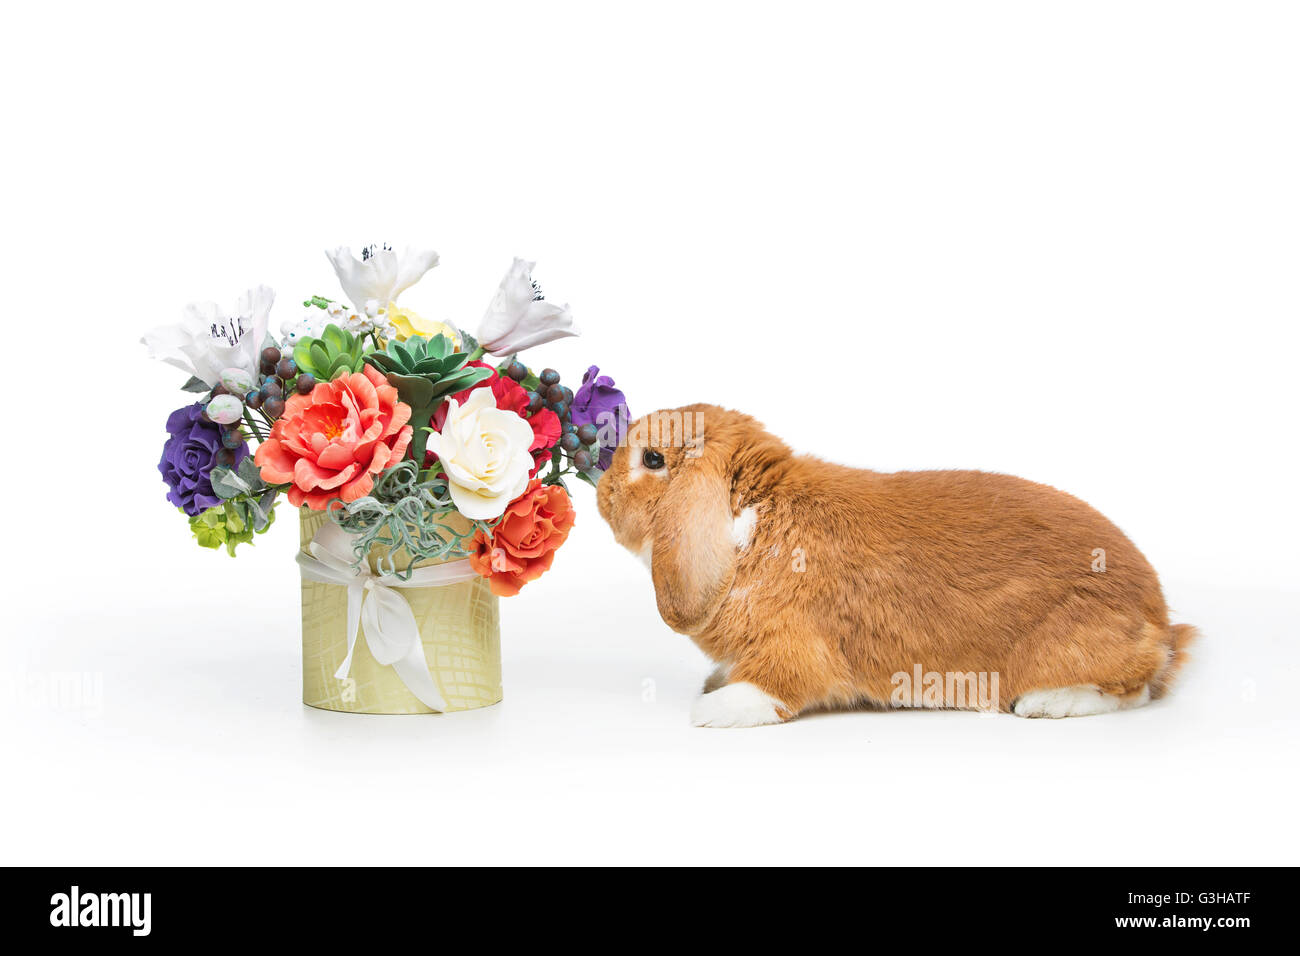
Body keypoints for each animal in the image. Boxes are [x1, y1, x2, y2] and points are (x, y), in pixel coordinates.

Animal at [596, 404, 1196, 727]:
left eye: (652, 459)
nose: (601, 491)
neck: (749, 521)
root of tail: (1159, 622)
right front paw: (713, 684)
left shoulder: (795, 647)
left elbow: (775, 686)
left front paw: (713, 709)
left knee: (1134, 689)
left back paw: (1047, 703)